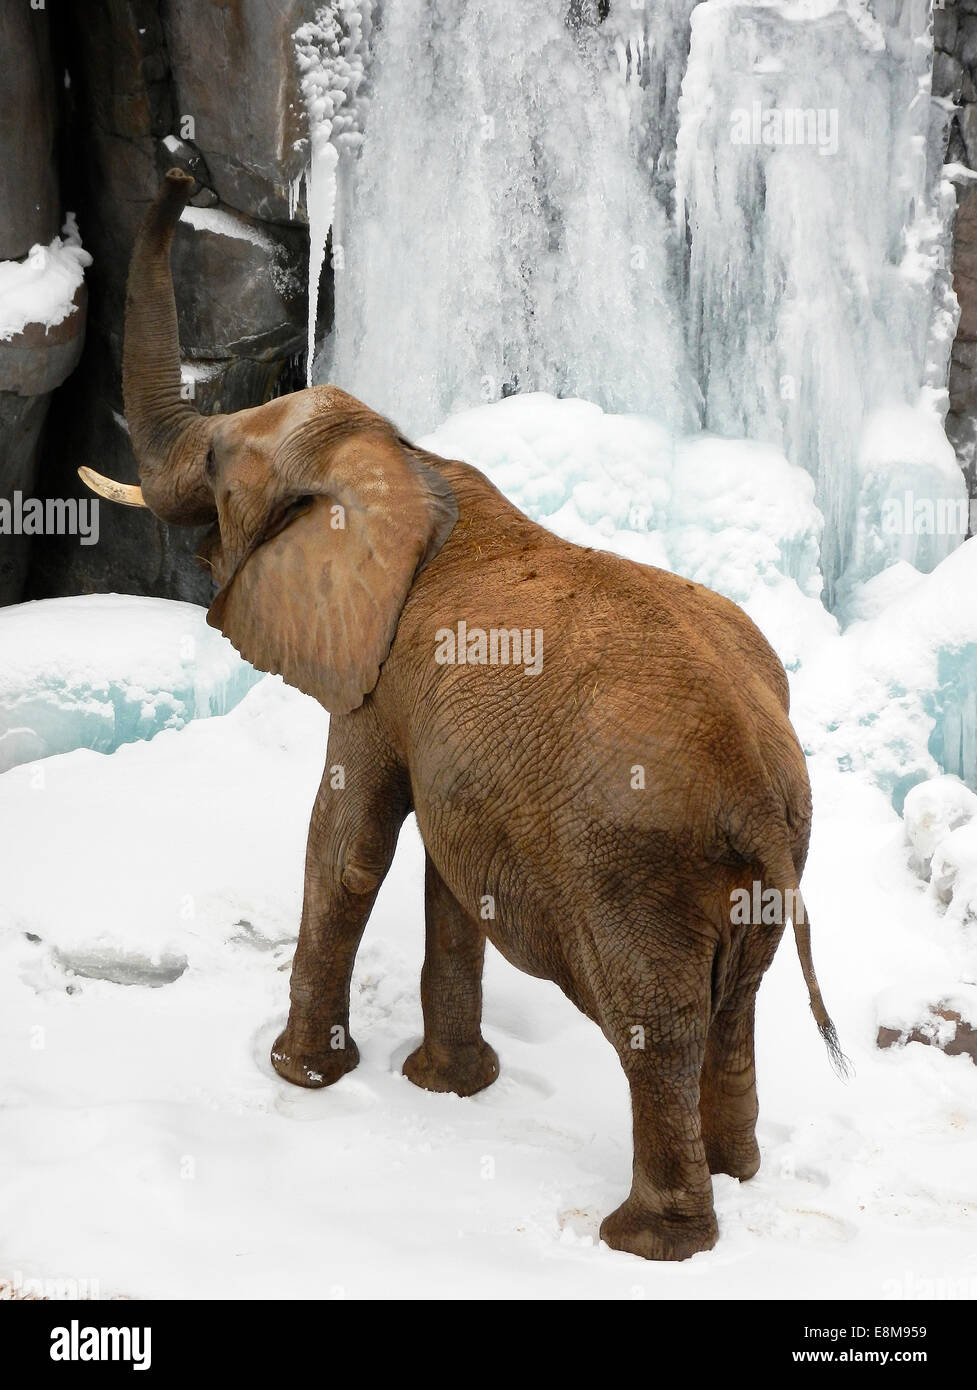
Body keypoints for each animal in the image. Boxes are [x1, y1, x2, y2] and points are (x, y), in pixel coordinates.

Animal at [82, 170, 845, 1262]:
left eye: (220, 464)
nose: (186, 178)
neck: (403, 460)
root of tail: (755, 787)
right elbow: (447, 877)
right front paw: (445, 1090)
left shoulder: (377, 679)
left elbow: (347, 846)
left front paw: (300, 1077)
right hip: (754, 872)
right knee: (733, 1005)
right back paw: (739, 1175)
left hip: (637, 866)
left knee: (656, 1027)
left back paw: (645, 1241)